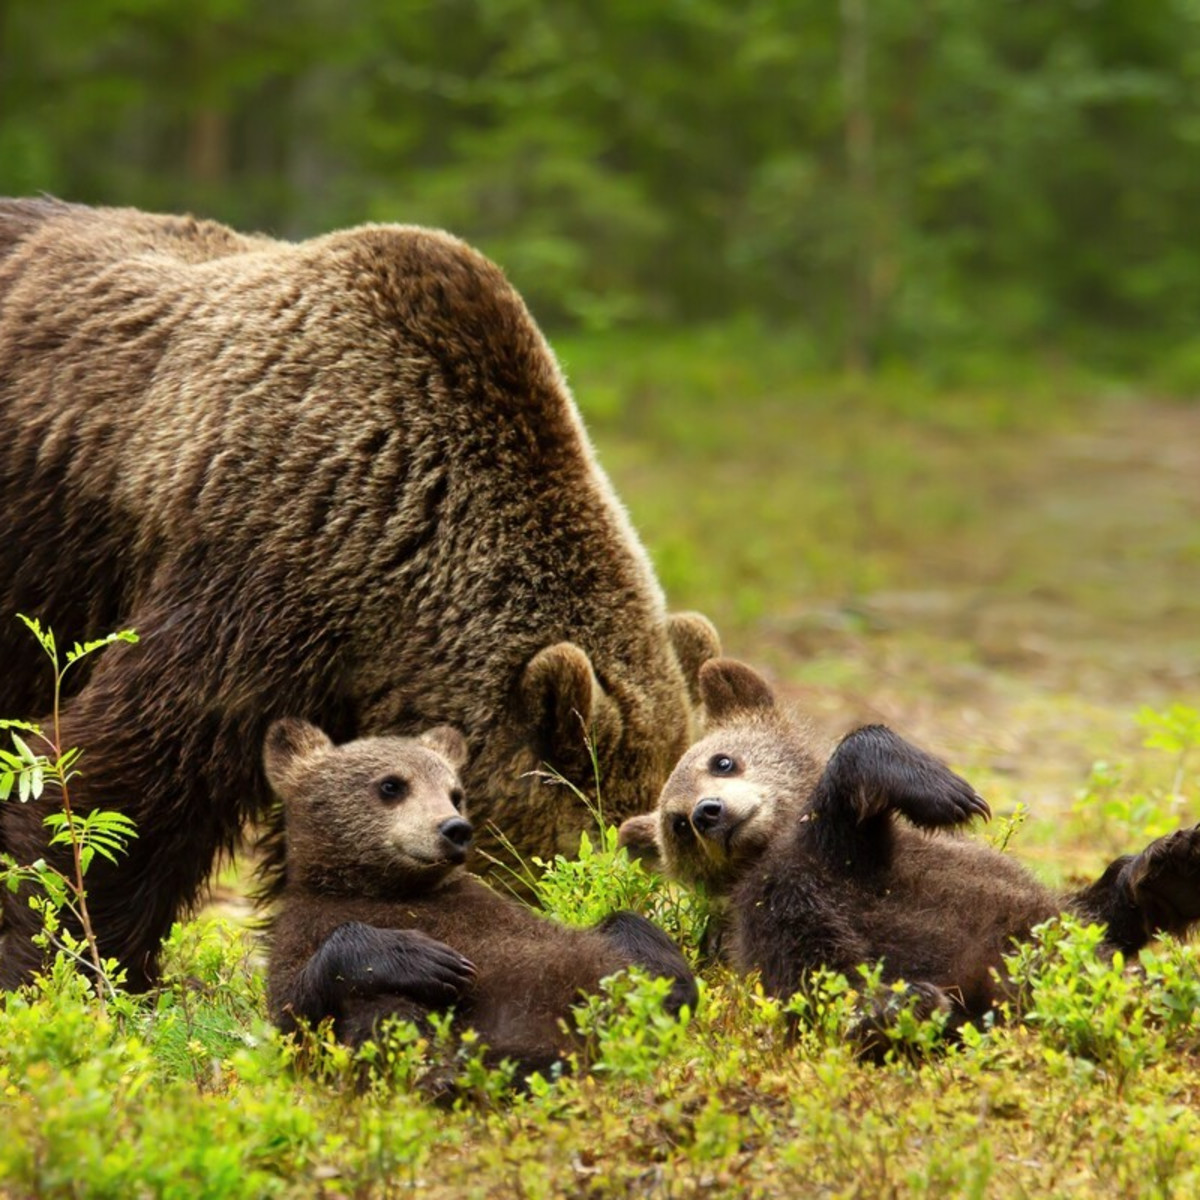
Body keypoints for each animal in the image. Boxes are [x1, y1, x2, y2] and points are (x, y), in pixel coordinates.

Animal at [263, 718, 697, 1080]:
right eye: (392, 784)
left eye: (455, 793)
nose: (454, 829)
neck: (390, 887)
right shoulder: (304, 927)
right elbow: (295, 1006)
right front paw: (427, 957)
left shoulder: (490, 904)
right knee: (386, 1009)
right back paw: (444, 1080)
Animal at [619, 658, 1200, 1032]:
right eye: (676, 825)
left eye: (722, 760)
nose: (706, 813)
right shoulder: (782, 900)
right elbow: (816, 972)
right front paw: (944, 793)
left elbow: (1080, 912)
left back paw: (1170, 867)